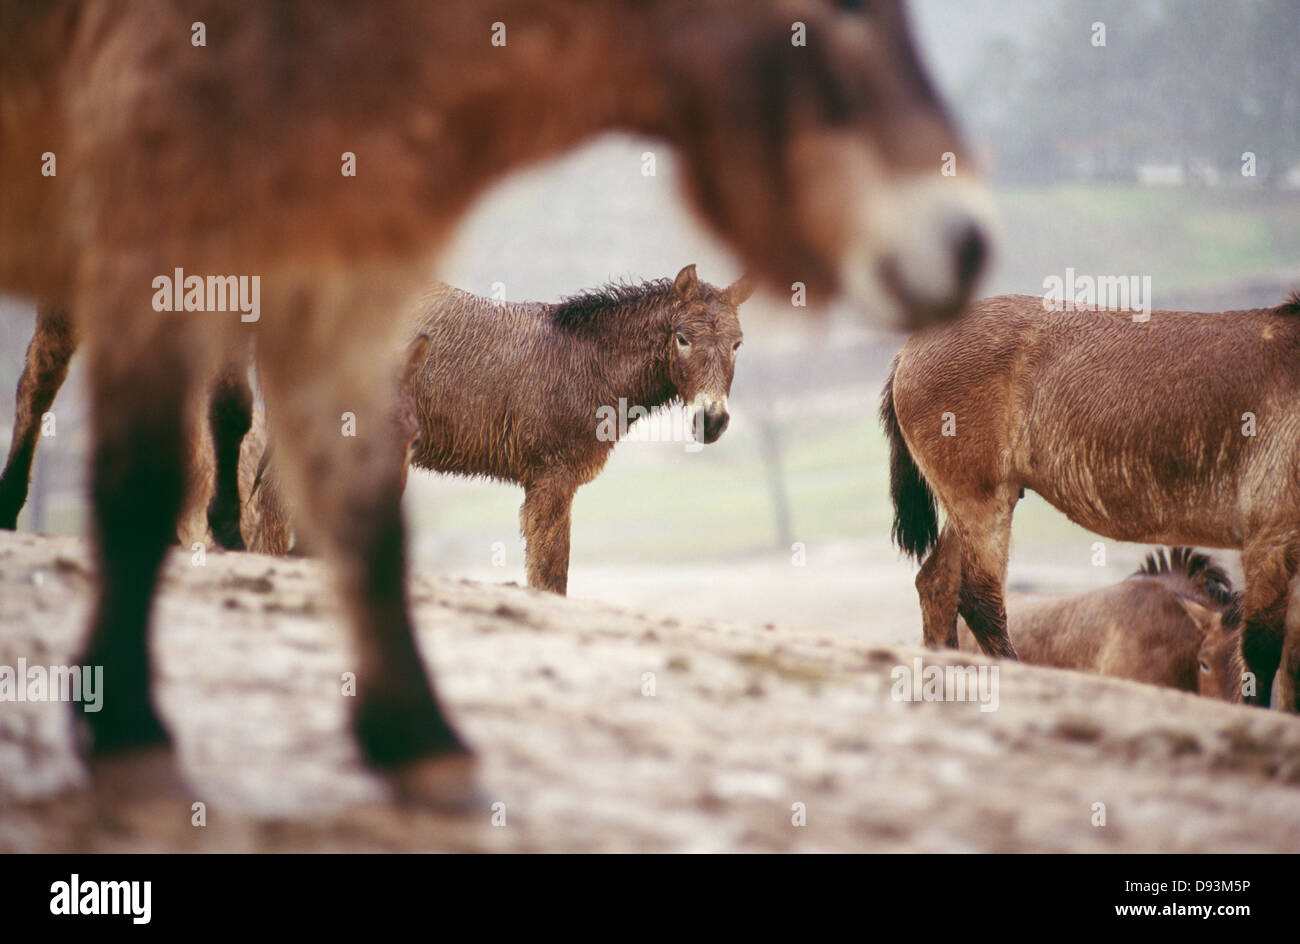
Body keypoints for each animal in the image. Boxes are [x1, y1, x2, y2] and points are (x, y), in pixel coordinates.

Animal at [1, 0, 991, 807]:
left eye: (739, 348)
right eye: (681, 340)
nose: (712, 422)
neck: (580, 359)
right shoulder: (547, 483)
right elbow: (549, 581)